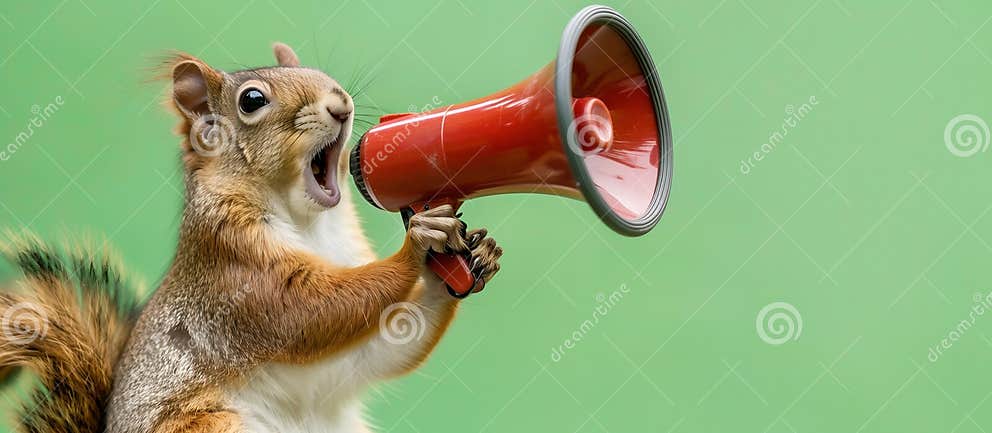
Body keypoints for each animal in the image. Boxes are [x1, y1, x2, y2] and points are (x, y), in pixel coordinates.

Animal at [0, 42, 503, 433]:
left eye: (323, 75)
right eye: (252, 100)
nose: (341, 104)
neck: (309, 222)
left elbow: (387, 344)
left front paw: (476, 257)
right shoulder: (236, 270)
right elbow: (307, 309)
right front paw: (417, 243)